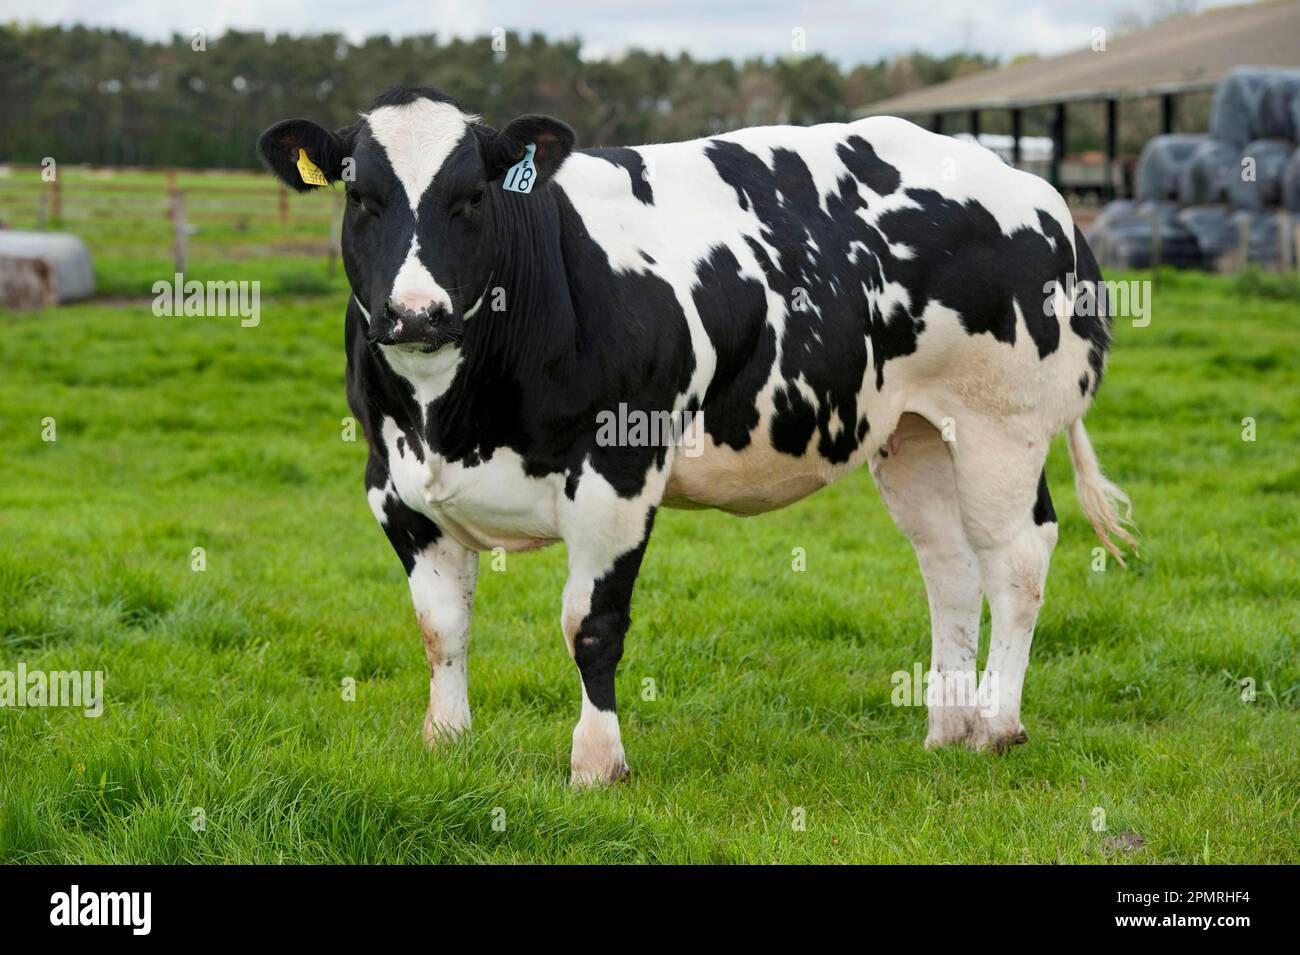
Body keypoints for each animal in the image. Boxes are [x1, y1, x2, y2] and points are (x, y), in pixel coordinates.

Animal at [257, 87, 1136, 786]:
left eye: (472, 195)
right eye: (359, 195)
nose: (416, 313)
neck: (451, 416)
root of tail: (1034, 188)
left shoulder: (617, 471)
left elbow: (591, 625)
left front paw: (597, 762)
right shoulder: (394, 485)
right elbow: (441, 625)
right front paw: (446, 742)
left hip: (1002, 423)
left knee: (1015, 557)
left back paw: (995, 725)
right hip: (914, 430)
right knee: (948, 563)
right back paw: (946, 727)